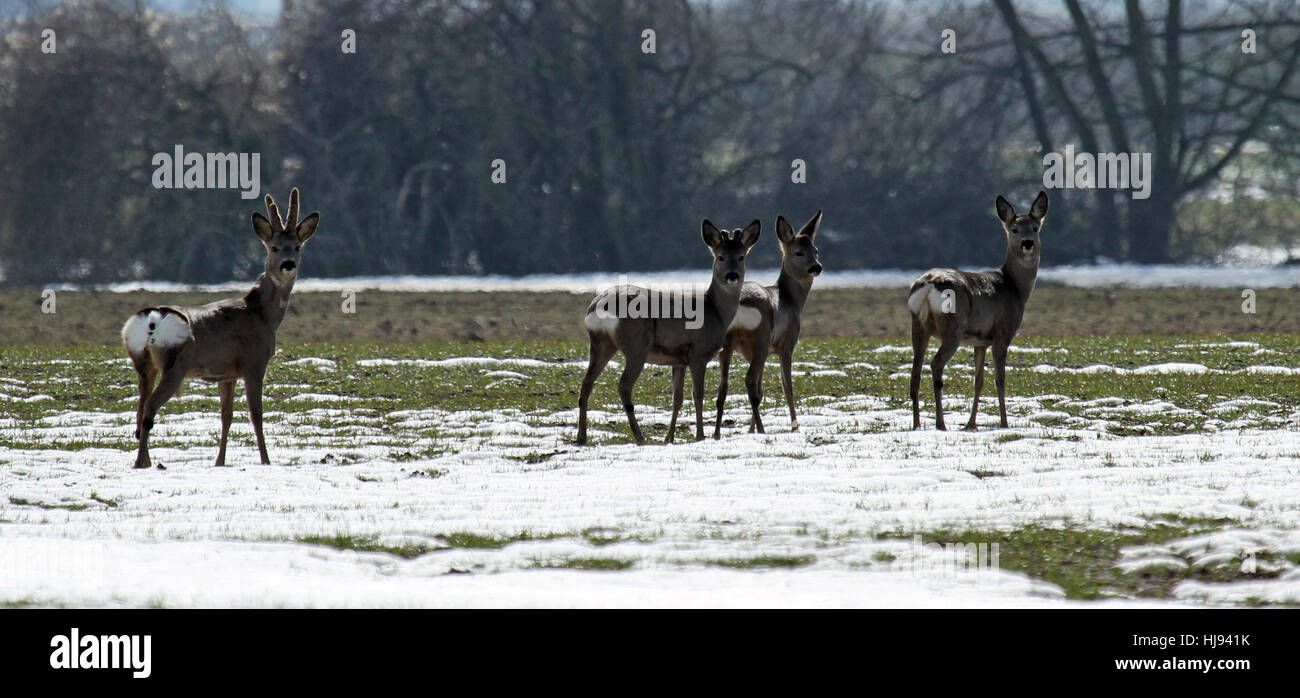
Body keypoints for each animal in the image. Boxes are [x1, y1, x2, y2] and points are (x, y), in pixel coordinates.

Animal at [120, 188, 320, 468]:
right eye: (274, 247)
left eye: (298, 246)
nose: (288, 264)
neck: (260, 314)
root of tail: (151, 320)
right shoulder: (254, 363)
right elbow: (256, 414)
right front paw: (266, 460)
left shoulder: (226, 374)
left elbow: (226, 416)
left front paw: (220, 462)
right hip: (175, 365)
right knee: (149, 408)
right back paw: (143, 462)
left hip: (142, 363)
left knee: (140, 413)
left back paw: (144, 461)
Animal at [577, 219, 761, 445]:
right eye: (720, 257)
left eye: (741, 256)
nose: (732, 276)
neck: (715, 312)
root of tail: (599, 304)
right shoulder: (698, 353)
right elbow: (697, 395)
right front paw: (700, 436)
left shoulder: (678, 360)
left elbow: (677, 398)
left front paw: (669, 438)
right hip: (636, 346)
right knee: (623, 386)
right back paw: (640, 437)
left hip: (600, 343)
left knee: (586, 383)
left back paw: (582, 436)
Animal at [713, 210, 822, 438]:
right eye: (799, 252)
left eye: (816, 250)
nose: (817, 267)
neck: (791, 300)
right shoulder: (786, 344)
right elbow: (787, 386)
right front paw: (795, 426)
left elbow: (761, 389)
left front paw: (751, 429)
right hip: (761, 339)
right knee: (747, 380)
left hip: (728, 343)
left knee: (724, 386)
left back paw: (717, 434)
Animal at [907, 191, 1047, 431]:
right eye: (1014, 229)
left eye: (1035, 227)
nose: (1027, 243)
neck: (1015, 288)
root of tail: (928, 285)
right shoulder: (1003, 333)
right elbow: (1000, 379)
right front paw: (1004, 422)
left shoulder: (980, 341)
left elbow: (978, 381)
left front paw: (971, 423)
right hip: (953, 328)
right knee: (935, 365)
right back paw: (940, 423)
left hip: (918, 325)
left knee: (915, 372)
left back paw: (917, 424)